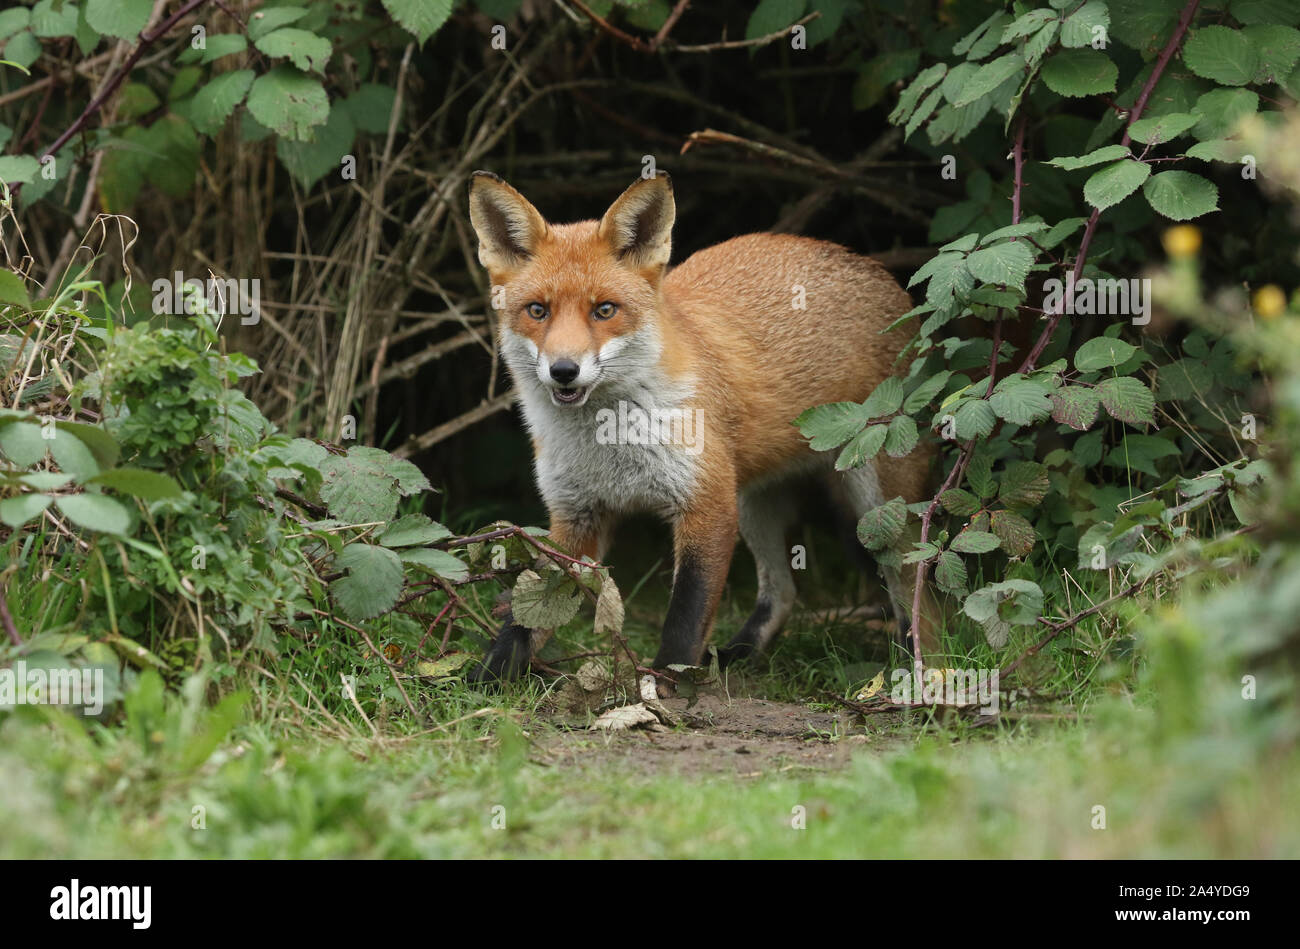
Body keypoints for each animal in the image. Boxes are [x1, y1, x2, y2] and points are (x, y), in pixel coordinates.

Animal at [465, 170, 939, 682]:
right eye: (538, 311)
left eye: (604, 310)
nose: (564, 371)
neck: (610, 444)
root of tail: (879, 273)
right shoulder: (576, 515)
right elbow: (529, 614)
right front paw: (488, 677)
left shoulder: (706, 504)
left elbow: (686, 617)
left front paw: (666, 683)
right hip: (754, 503)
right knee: (783, 592)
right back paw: (741, 654)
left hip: (875, 507)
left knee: (922, 599)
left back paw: (919, 665)